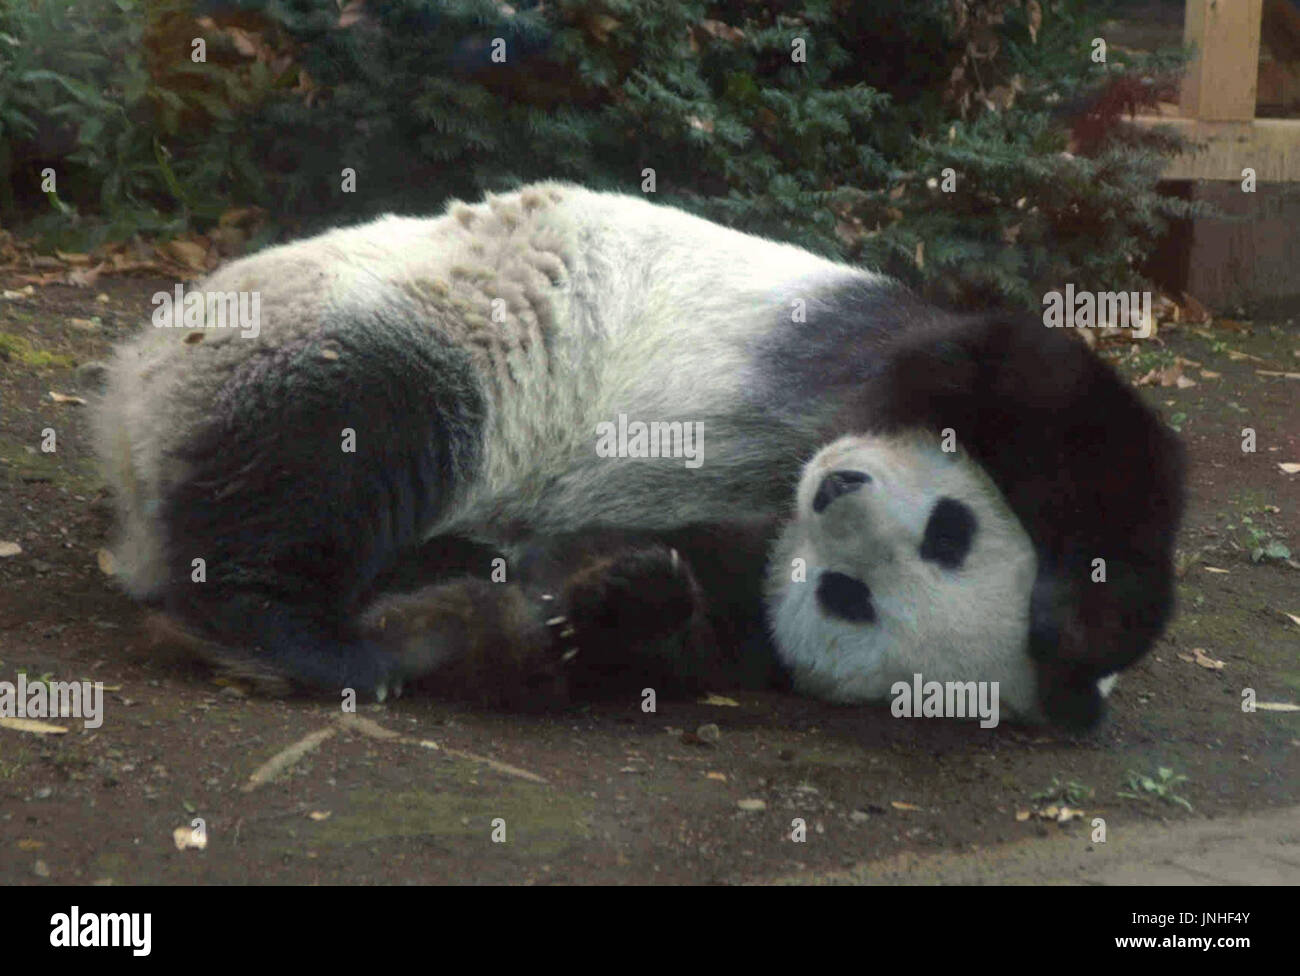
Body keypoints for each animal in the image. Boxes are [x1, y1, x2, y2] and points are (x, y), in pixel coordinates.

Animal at [92, 182, 1184, 728]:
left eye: (850, 598)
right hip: (375, 326)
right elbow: (1032, 386)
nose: (838, 487)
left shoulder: (746, 580)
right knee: (346, 439)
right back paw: (297, 634)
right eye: (949, 527)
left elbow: (559, 619)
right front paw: (1088, 616)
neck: (782, 487)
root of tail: (123, 425)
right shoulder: (858, 351)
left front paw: (601, 612)